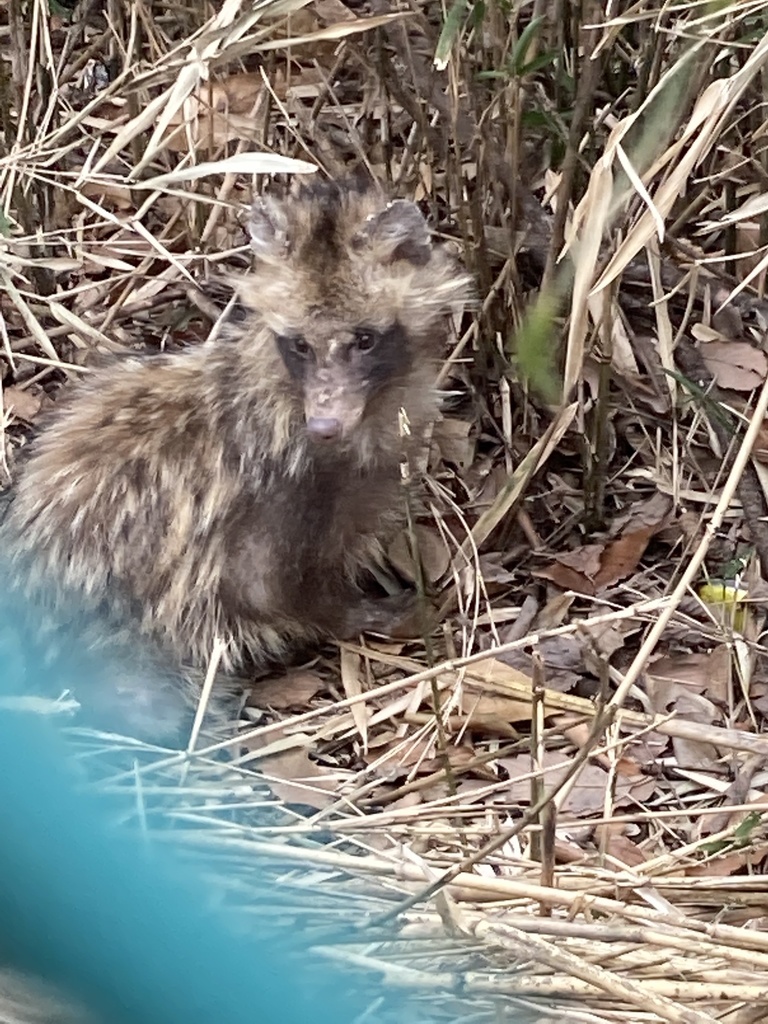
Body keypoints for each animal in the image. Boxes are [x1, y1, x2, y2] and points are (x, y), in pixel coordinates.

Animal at [4, 180, 472, 717]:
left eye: (365, 339)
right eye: (300, 345)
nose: (325, 426)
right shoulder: (283, 502)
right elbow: (274, 591)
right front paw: (369, 614)